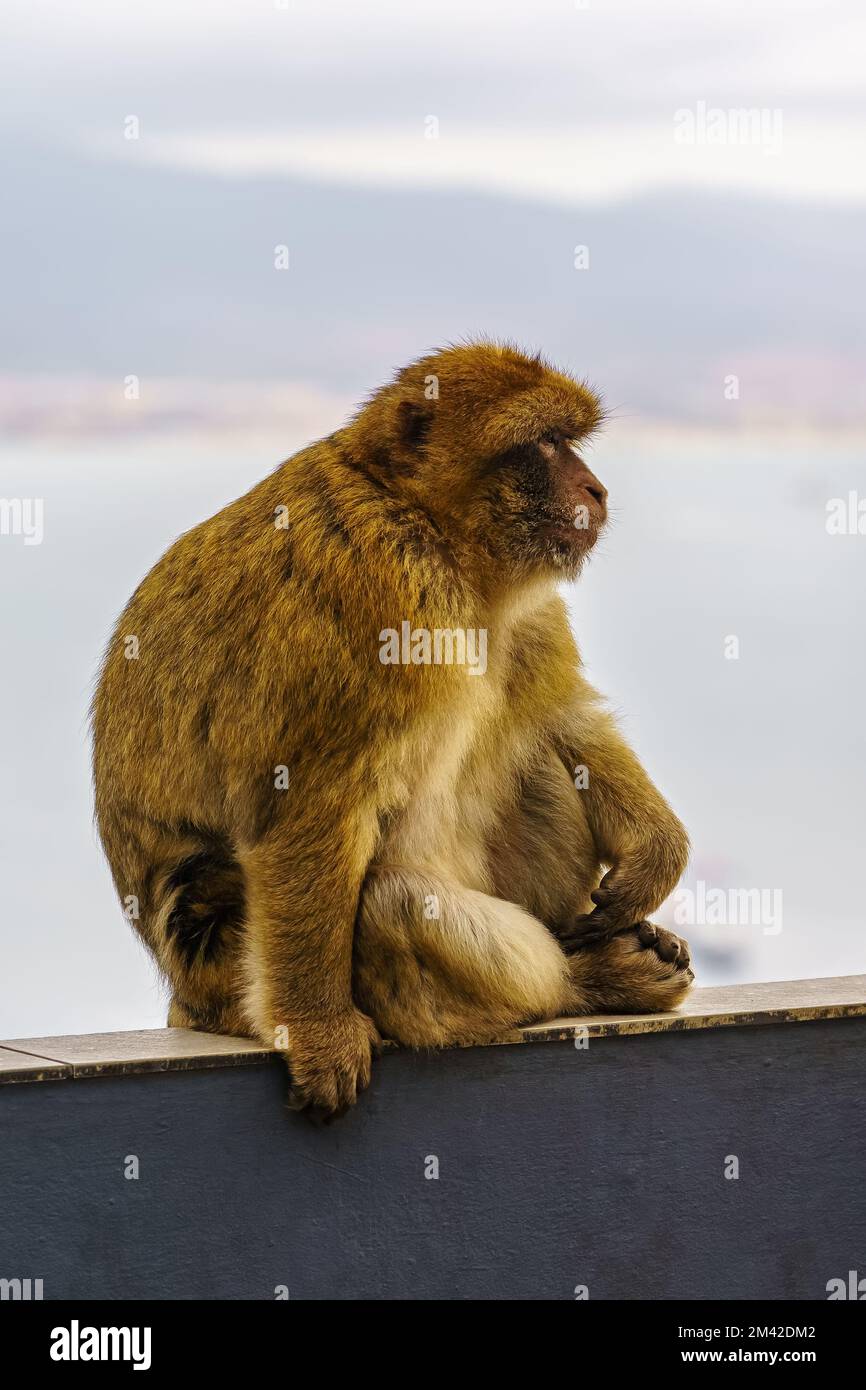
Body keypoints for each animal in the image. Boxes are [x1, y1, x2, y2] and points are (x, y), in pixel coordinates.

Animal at [91, 341, 692, 1117]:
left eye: (569, 442)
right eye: (544, 444)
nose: (596, 490)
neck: (428, 527)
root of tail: (190, 1004)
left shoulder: (522, 608)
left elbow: (562, 714)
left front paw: (655, 854)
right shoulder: (381, 593)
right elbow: (309, 809)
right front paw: (315, 1030)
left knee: (532, 759)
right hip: (226, 968)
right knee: (390, 906)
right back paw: (581, 983)